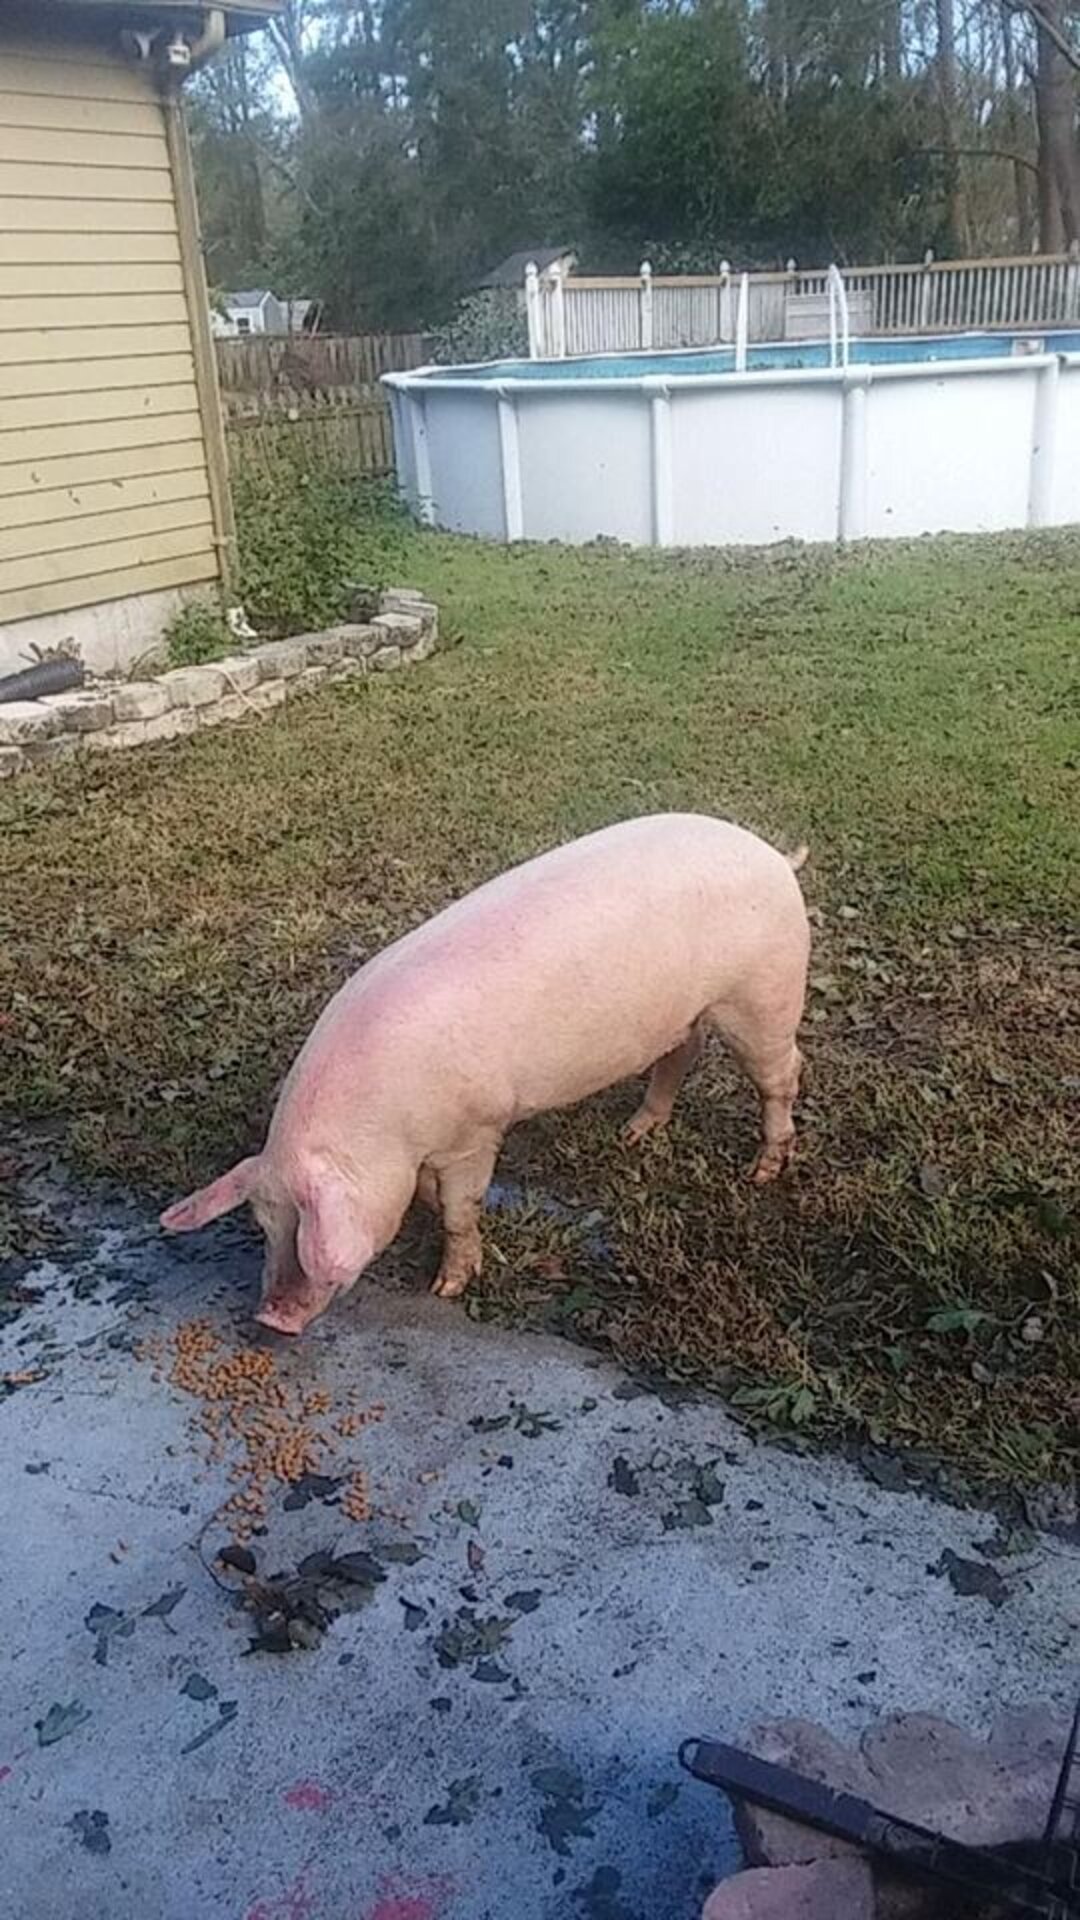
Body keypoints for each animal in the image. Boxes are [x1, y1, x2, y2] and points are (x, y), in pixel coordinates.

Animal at [161, 814, 809, 1335]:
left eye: (308, 1225)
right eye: (264, 1223)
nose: (270, 1318)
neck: (387, 1133)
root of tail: (775, 857)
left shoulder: (475, 1131)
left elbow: (461, 1208)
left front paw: (446, 1287)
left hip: (763, 996)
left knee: (783, 1074)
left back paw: (763, 1171)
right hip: (689, 1013)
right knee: (682, 1054)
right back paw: (634, 1133)